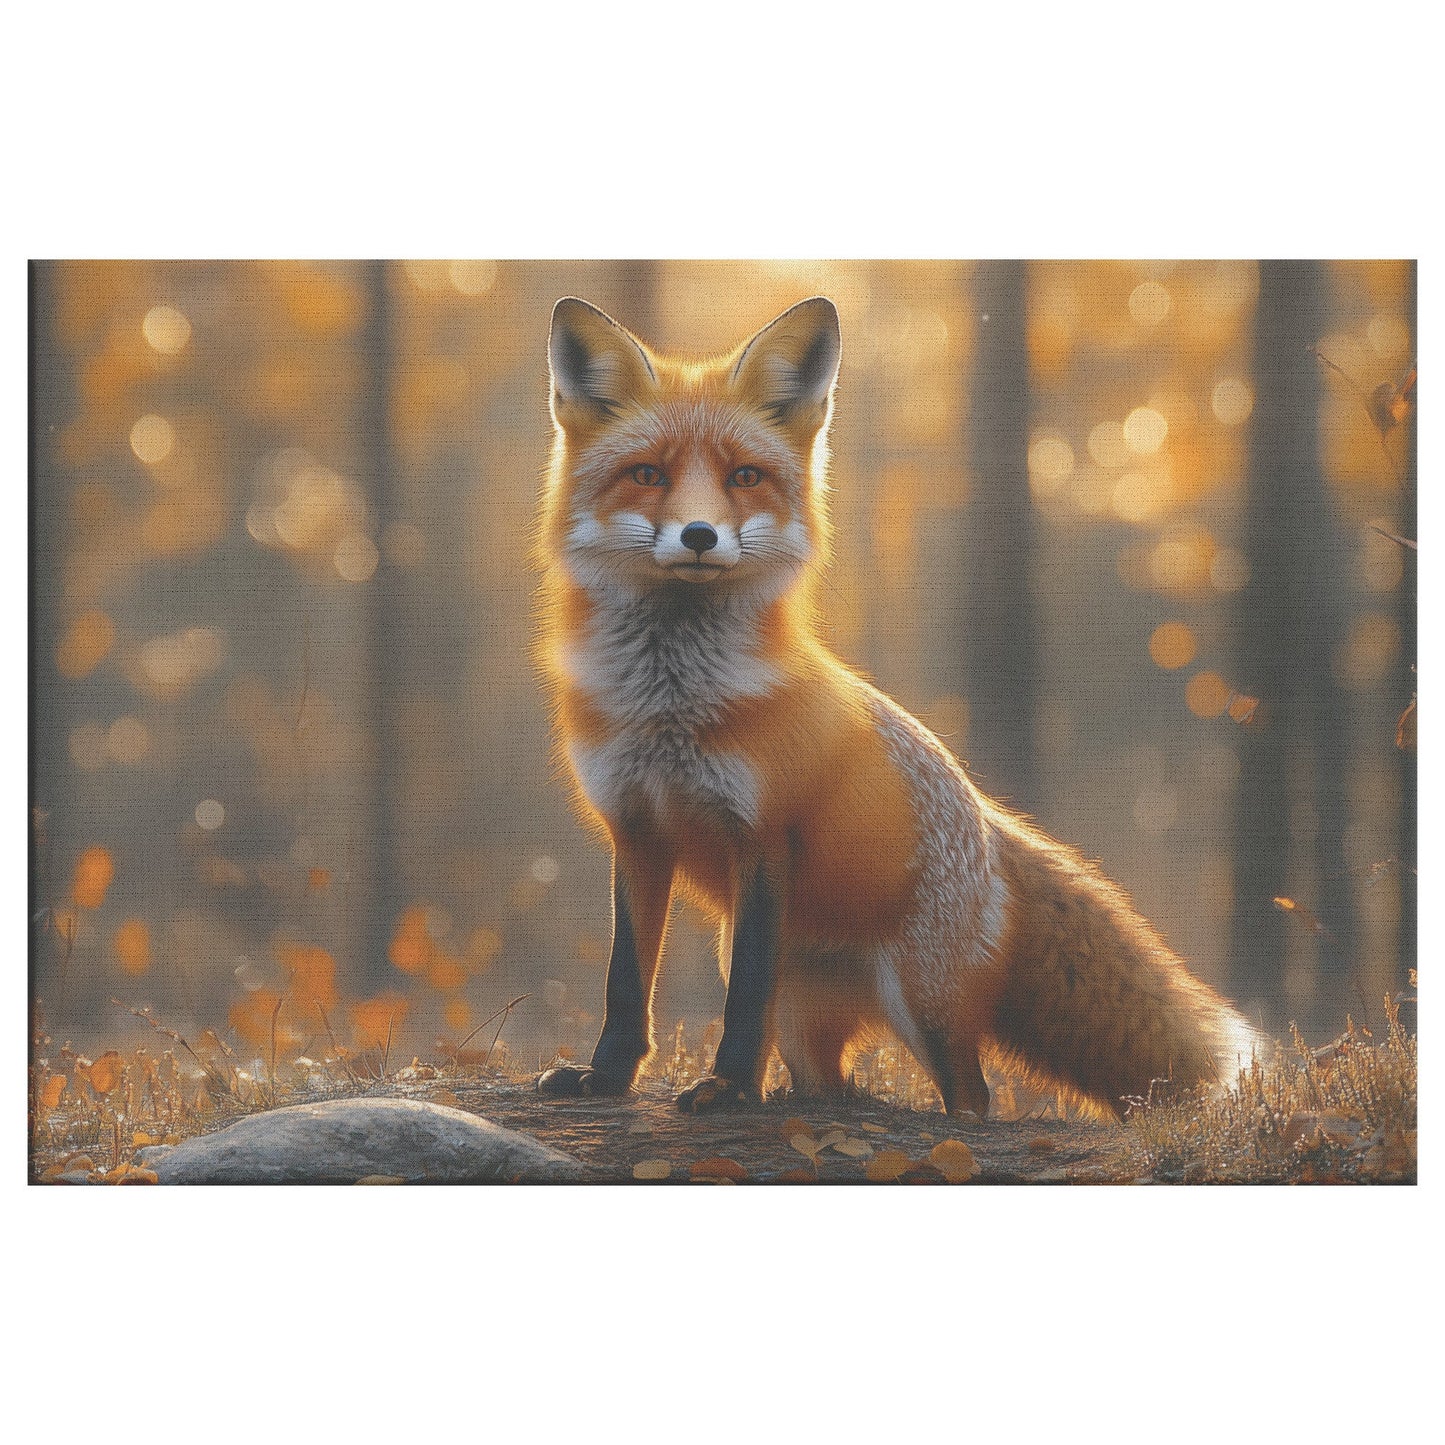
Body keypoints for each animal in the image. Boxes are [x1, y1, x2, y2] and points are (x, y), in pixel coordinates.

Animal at [534, 294, 1258, 1118]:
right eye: (646, 474)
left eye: (745, 475)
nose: (698, 534)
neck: (670, 705)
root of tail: (988, 824)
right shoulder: (636, 832)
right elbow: (625, 982)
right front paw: (606, 1078)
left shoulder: (764, 835)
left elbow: (743, 995)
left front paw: (729, 1088)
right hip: (805, 1018)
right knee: (829, 1081)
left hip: (925, 1008)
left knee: (973, 1100)